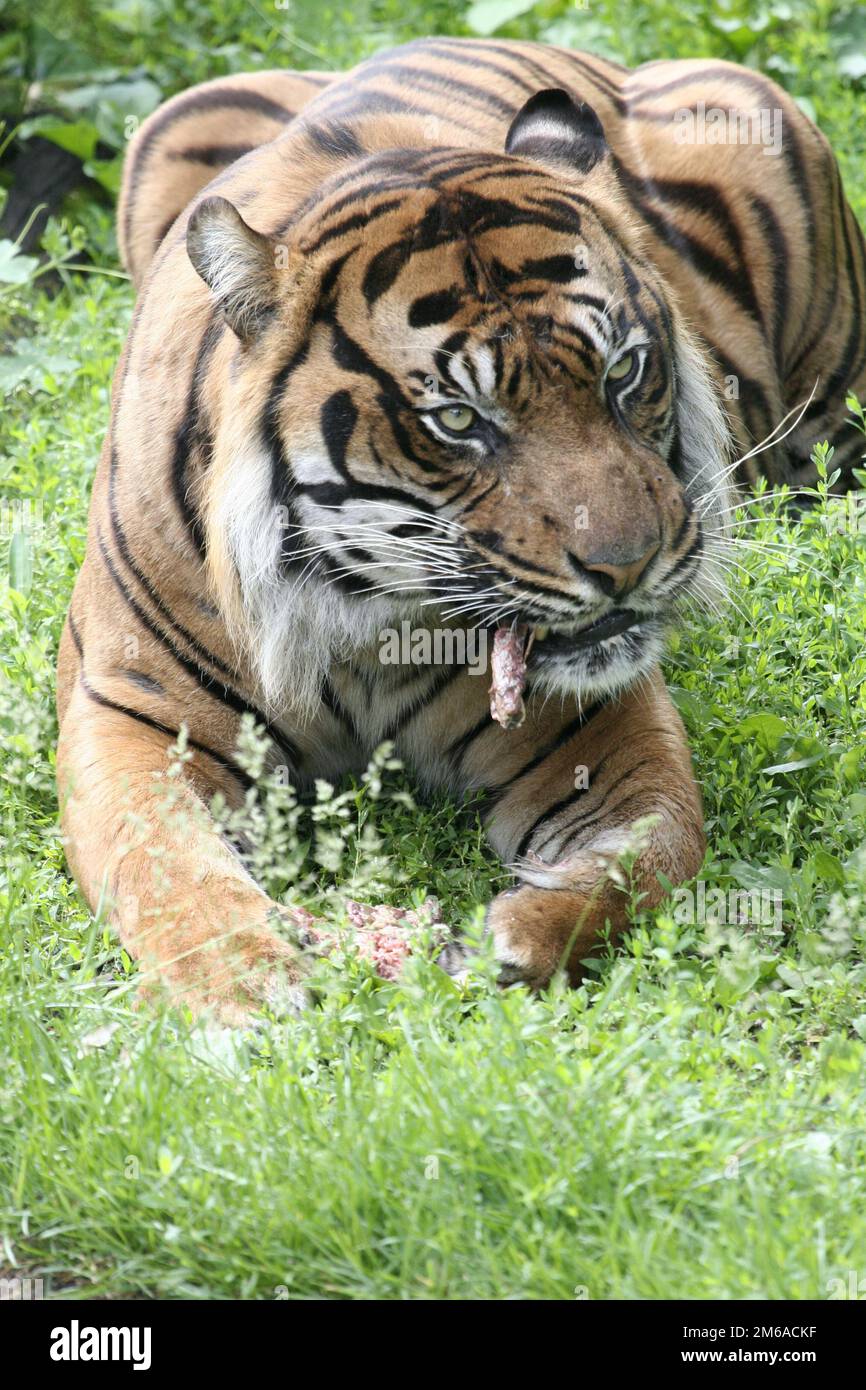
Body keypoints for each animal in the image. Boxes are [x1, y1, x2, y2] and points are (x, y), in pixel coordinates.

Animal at [56, 37, 866, 1023]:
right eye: (457, 420)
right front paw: (250, 984)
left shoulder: (597, 717)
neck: (364, 622)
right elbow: (165, 869)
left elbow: (658, 845)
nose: (628, 568)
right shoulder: (132, 710)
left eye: (624, 373)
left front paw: (514, 936)